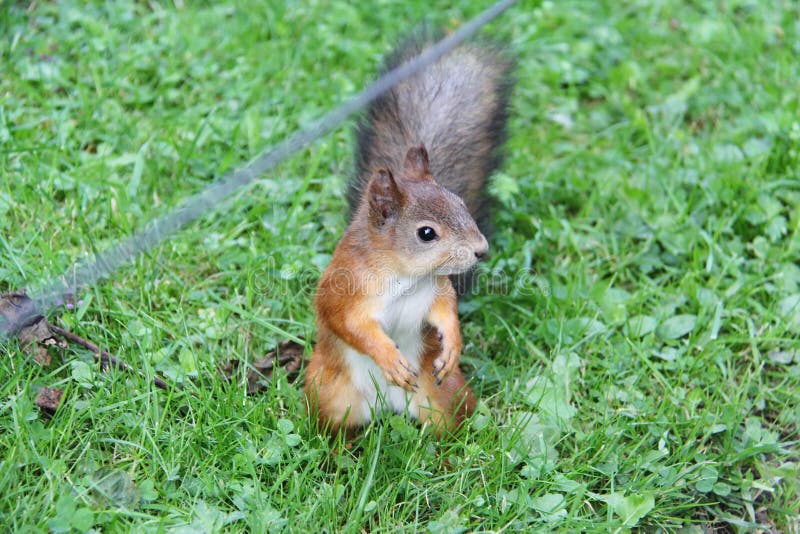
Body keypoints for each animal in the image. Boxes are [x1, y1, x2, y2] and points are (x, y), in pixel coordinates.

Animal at [304, 31, 513, 437]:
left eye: (459, 201)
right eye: (426, 233)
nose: (481, 250)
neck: (405, 277)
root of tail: (387, 407)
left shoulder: (437, 289)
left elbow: (446, 309)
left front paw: (453, 343)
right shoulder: (345, 289)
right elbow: (348, 324)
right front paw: (388, 357)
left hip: (445, 395)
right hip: (329, 391)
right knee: (332, 429)